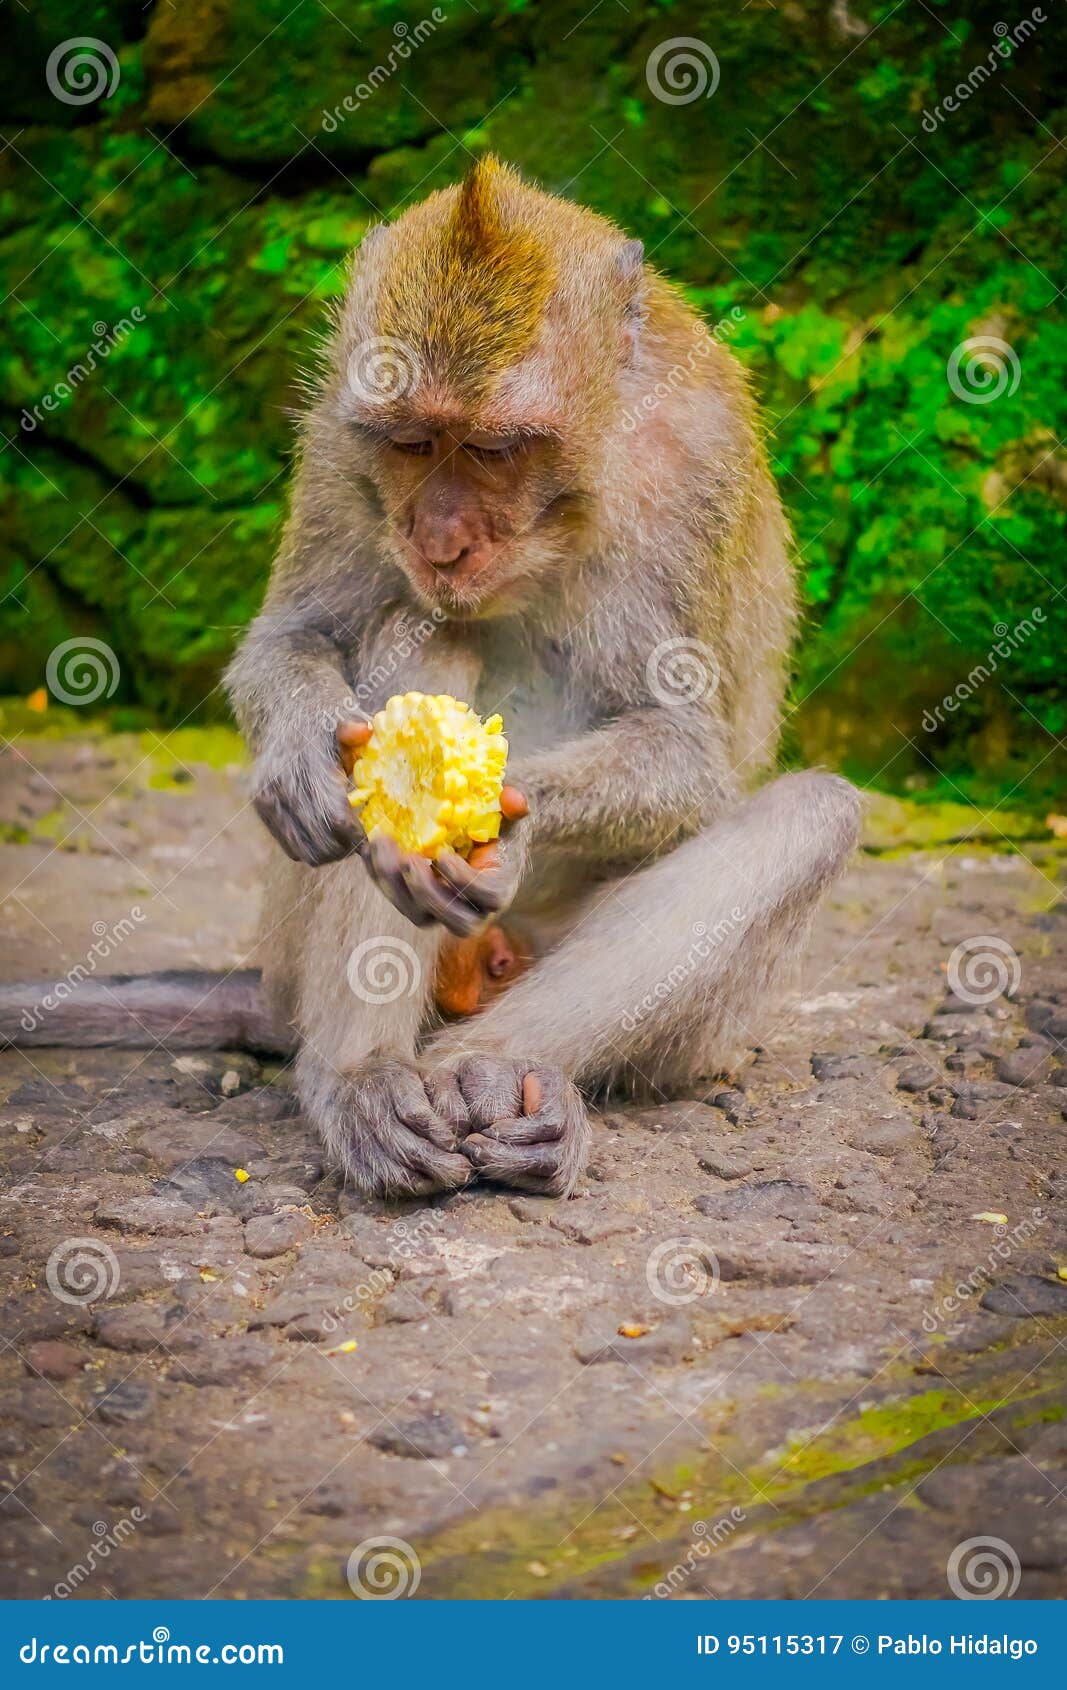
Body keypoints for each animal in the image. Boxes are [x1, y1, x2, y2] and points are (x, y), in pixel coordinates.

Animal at [2, 158, 861, 1202]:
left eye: (493, 448)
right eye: (411, 442)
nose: (441, 538)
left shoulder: (695, 464)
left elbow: (684, 744)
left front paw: (502, 836)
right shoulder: (337, 430)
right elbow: (298, 633)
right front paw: (300, 757)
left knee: (811, 816)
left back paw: (491, 1070)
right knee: (425, 642)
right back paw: (360, 1079)